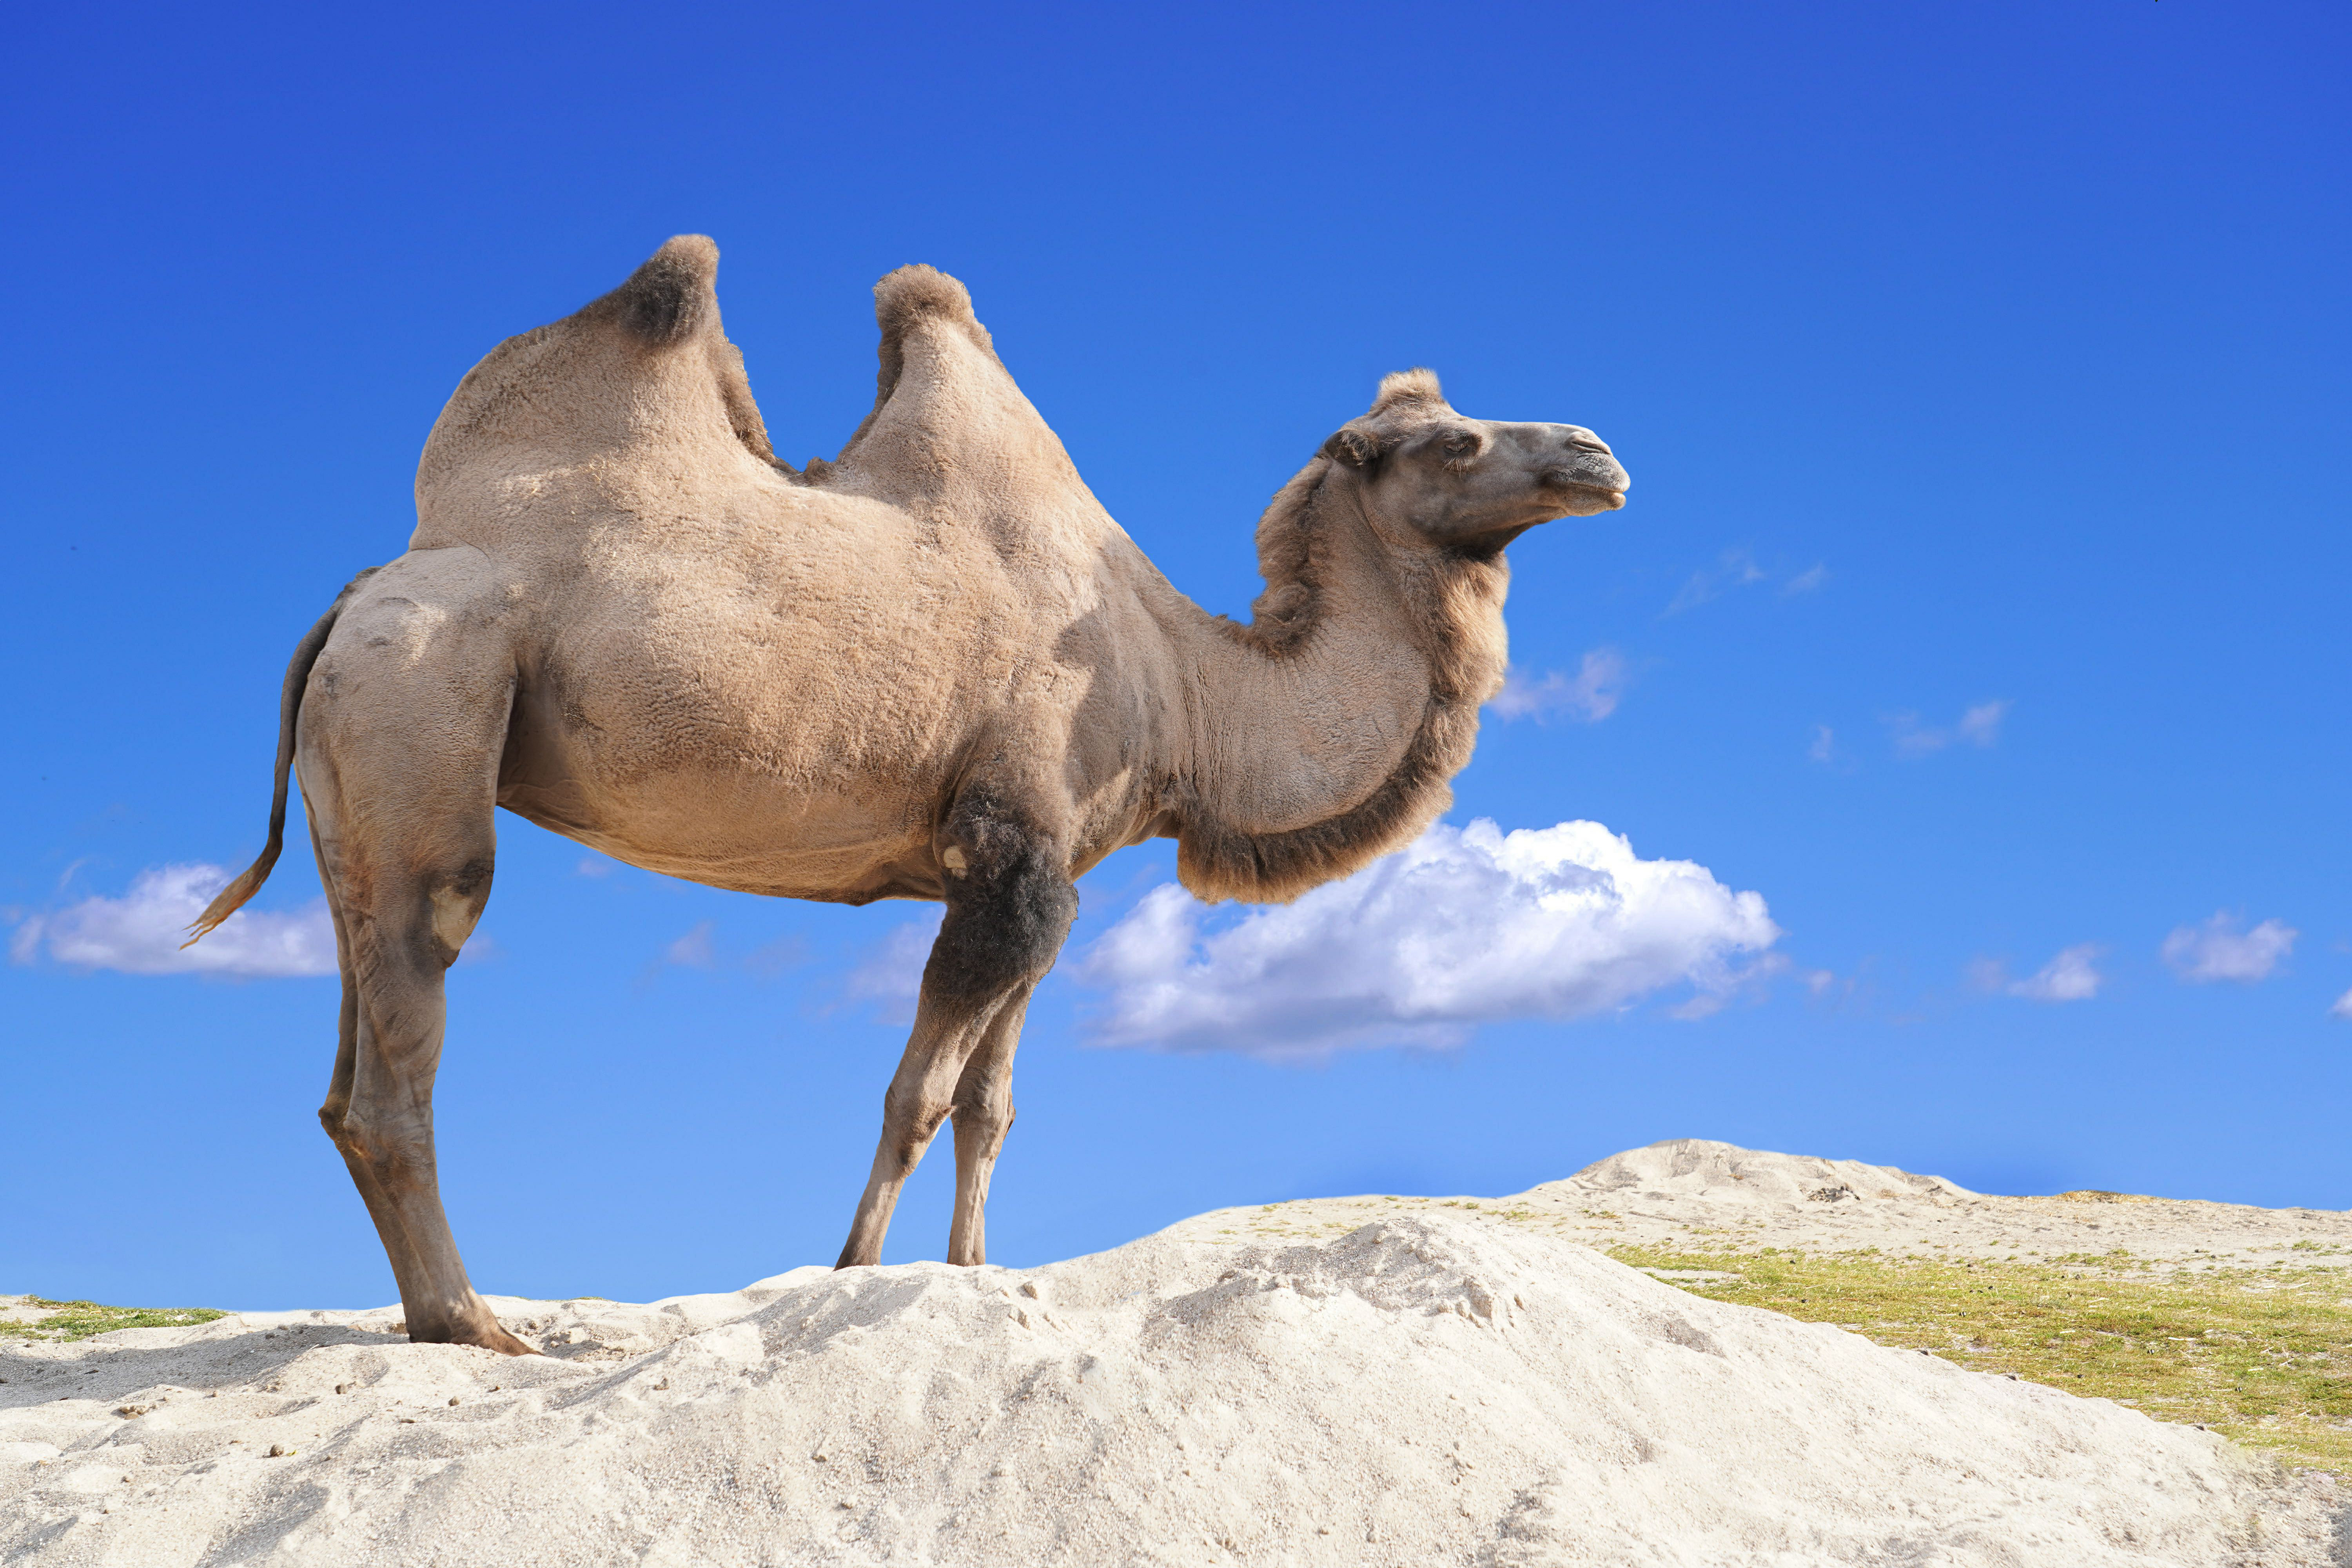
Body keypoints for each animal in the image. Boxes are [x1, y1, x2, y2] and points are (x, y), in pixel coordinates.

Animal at [188, 236, 1629, 1355]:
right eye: (1455, 440)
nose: (1600, 451)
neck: (1188, 689)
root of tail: (357, 594)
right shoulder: (1008, 854)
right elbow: (916, 1095)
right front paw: (852, 1271)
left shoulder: (1053, 874)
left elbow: (991, 1104)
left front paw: (975, 1275)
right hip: (428, 697)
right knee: (417, 1001)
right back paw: (478, 1326)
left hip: (361, 765)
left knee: (350, 1042)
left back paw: (446, 1315)